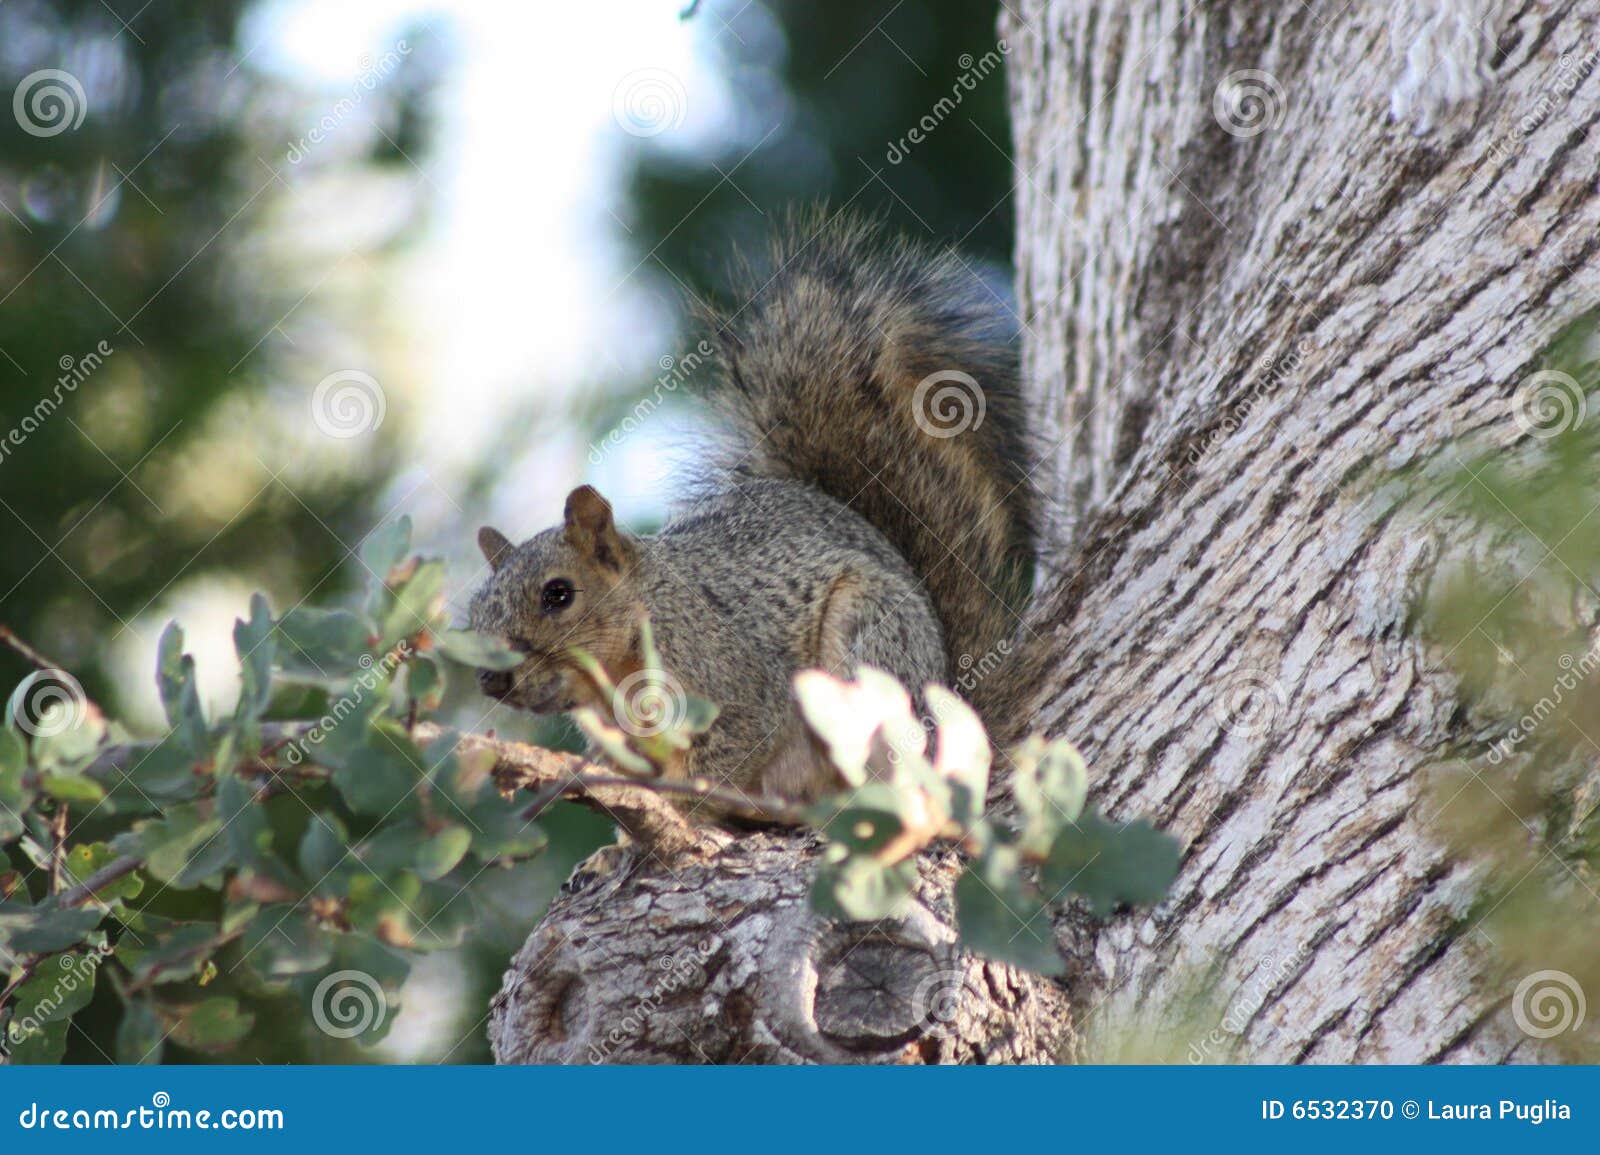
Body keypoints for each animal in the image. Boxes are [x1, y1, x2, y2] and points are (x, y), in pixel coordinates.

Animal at [467, 212, 1035, 808]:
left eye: (558, 594)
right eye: (475, 615)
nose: (491, 680)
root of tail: (943, 682)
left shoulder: (729, 675)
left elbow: (735, 745)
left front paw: (684, 804)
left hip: (871, 646)